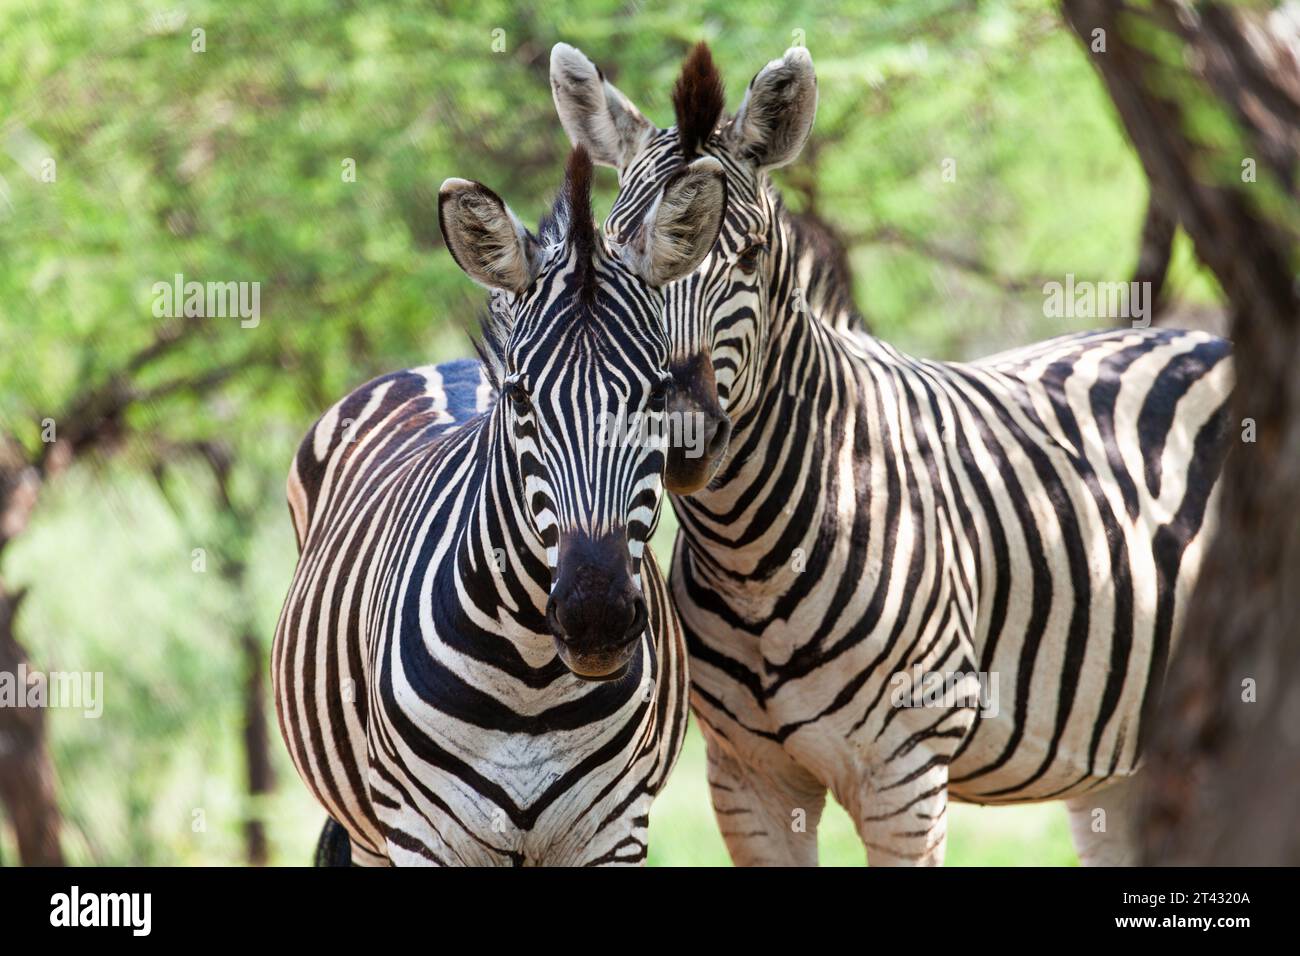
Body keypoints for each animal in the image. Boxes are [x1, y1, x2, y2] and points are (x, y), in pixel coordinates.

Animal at [272, 146, 727, 865]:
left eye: (657, 396)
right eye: (519, 397)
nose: (595, 617)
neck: (531, 678)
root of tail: (441, 367)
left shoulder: (615, 830)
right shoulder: (422, 834)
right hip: (368, 834)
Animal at [551, 42, 1234, 865]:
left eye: (749, 255)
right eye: (620, 252)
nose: (681, 428)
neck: (751, 557)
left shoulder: (904, 776)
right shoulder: (745, 778)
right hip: (1119, 769)